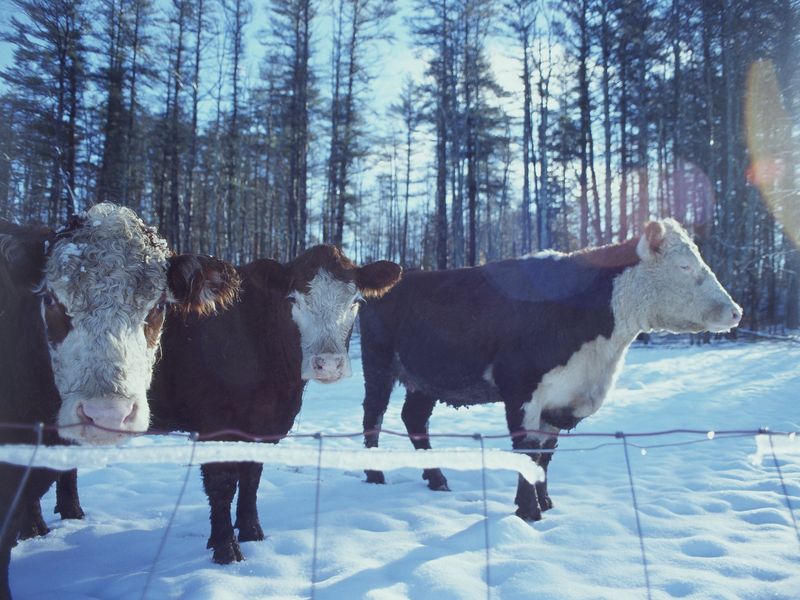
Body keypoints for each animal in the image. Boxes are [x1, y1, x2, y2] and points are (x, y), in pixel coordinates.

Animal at [146, 245, 402, 564]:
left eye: (356, 300)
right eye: (293, 300)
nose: (329, 363)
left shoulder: (264, 424)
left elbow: (252, 475)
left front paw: (252, 532)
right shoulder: (214, 422)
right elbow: (222, 482)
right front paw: (225, 548)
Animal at [359, 219, 742, 521]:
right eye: (684, 266)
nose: (736, 311)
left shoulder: (562, 399)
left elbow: (545, 455)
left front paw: (545, 503)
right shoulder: (521, 387)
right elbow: (527, 450)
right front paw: (529, 512)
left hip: (425, 376)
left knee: (414, 419)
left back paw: (437, 478)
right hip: (378, 364)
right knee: (373, 417)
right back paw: (375, 475)